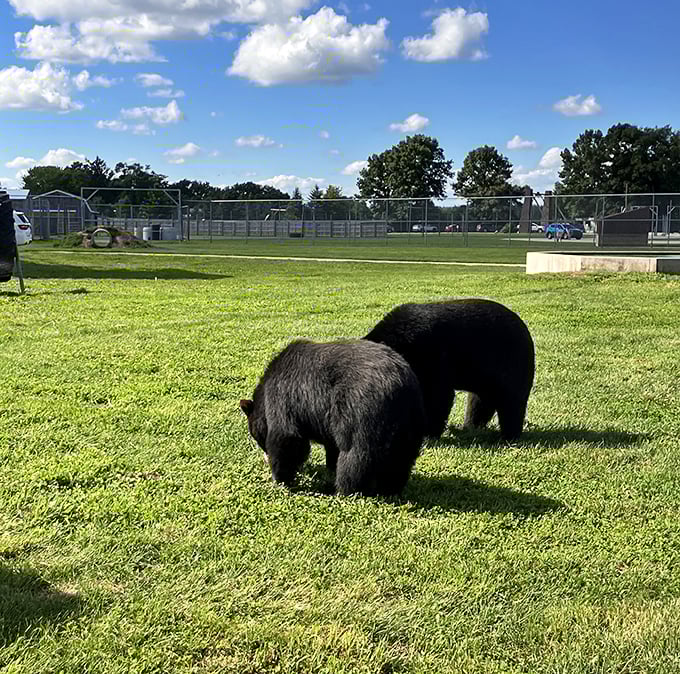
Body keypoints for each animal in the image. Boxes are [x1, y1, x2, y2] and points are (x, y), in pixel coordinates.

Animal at [240, 339, 425, 496]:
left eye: (256, 436)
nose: (265, 457)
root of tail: (402, 385)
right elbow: (329, 445)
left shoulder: (283, 397)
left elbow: (286, 437)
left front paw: (279, 479)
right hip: (410, 423)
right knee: (400, 458)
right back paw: (391, 488)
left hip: (361, 412)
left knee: (354, 457)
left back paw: (341, 490)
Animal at [364, 299, 535, 441]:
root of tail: (526, 331)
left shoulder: (432, 357)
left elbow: (439, 396)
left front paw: (428, 435)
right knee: (479, 402)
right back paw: (469, 427)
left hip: (512, 363)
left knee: (511, 402)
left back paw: (508, 436)